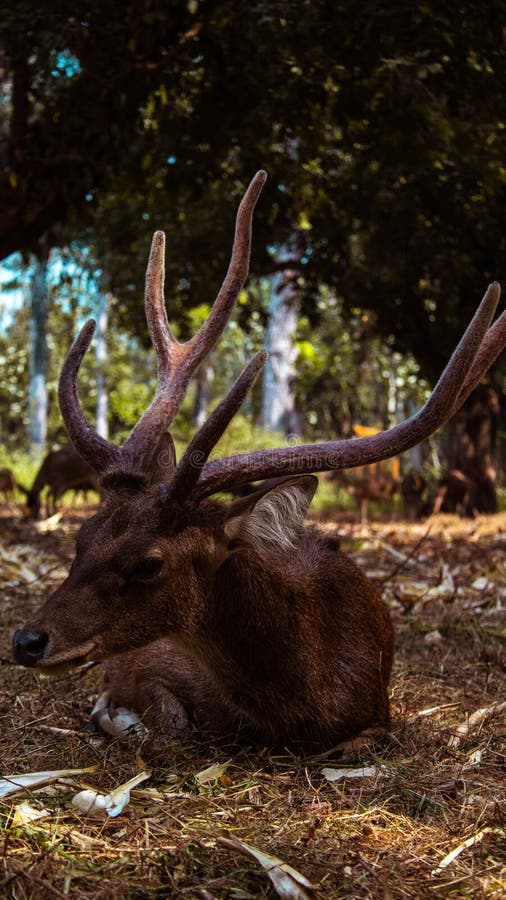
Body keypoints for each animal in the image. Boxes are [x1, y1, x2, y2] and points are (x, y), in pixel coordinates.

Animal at [12, 171, 506, 753]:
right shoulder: (142, 666)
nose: (25, 640)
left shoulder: (378, 715)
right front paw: (122, 716)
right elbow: (165, 721)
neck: (301, 705)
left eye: (150, 563)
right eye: (80, 537)